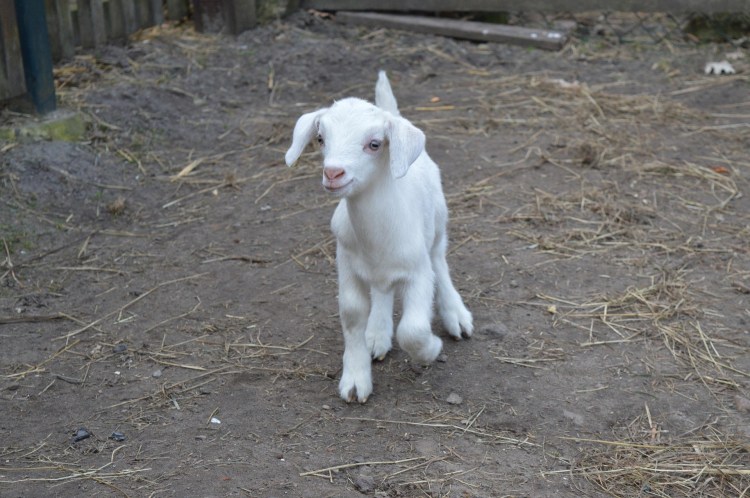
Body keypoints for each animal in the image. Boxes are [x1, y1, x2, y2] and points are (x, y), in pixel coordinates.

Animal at [285, 71, 473, 403]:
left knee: (439, 260)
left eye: (374, 144)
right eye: (321, 139)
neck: (376, 235)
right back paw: (377, 333)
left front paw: (431, 349)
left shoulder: (417, 272)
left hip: (438, 222)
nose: (333, 173)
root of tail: (396, 116)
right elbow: (352, 314)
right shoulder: (346, 264)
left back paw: (456, 314)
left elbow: (412, 329)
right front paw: (355, 378)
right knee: (382, 291)